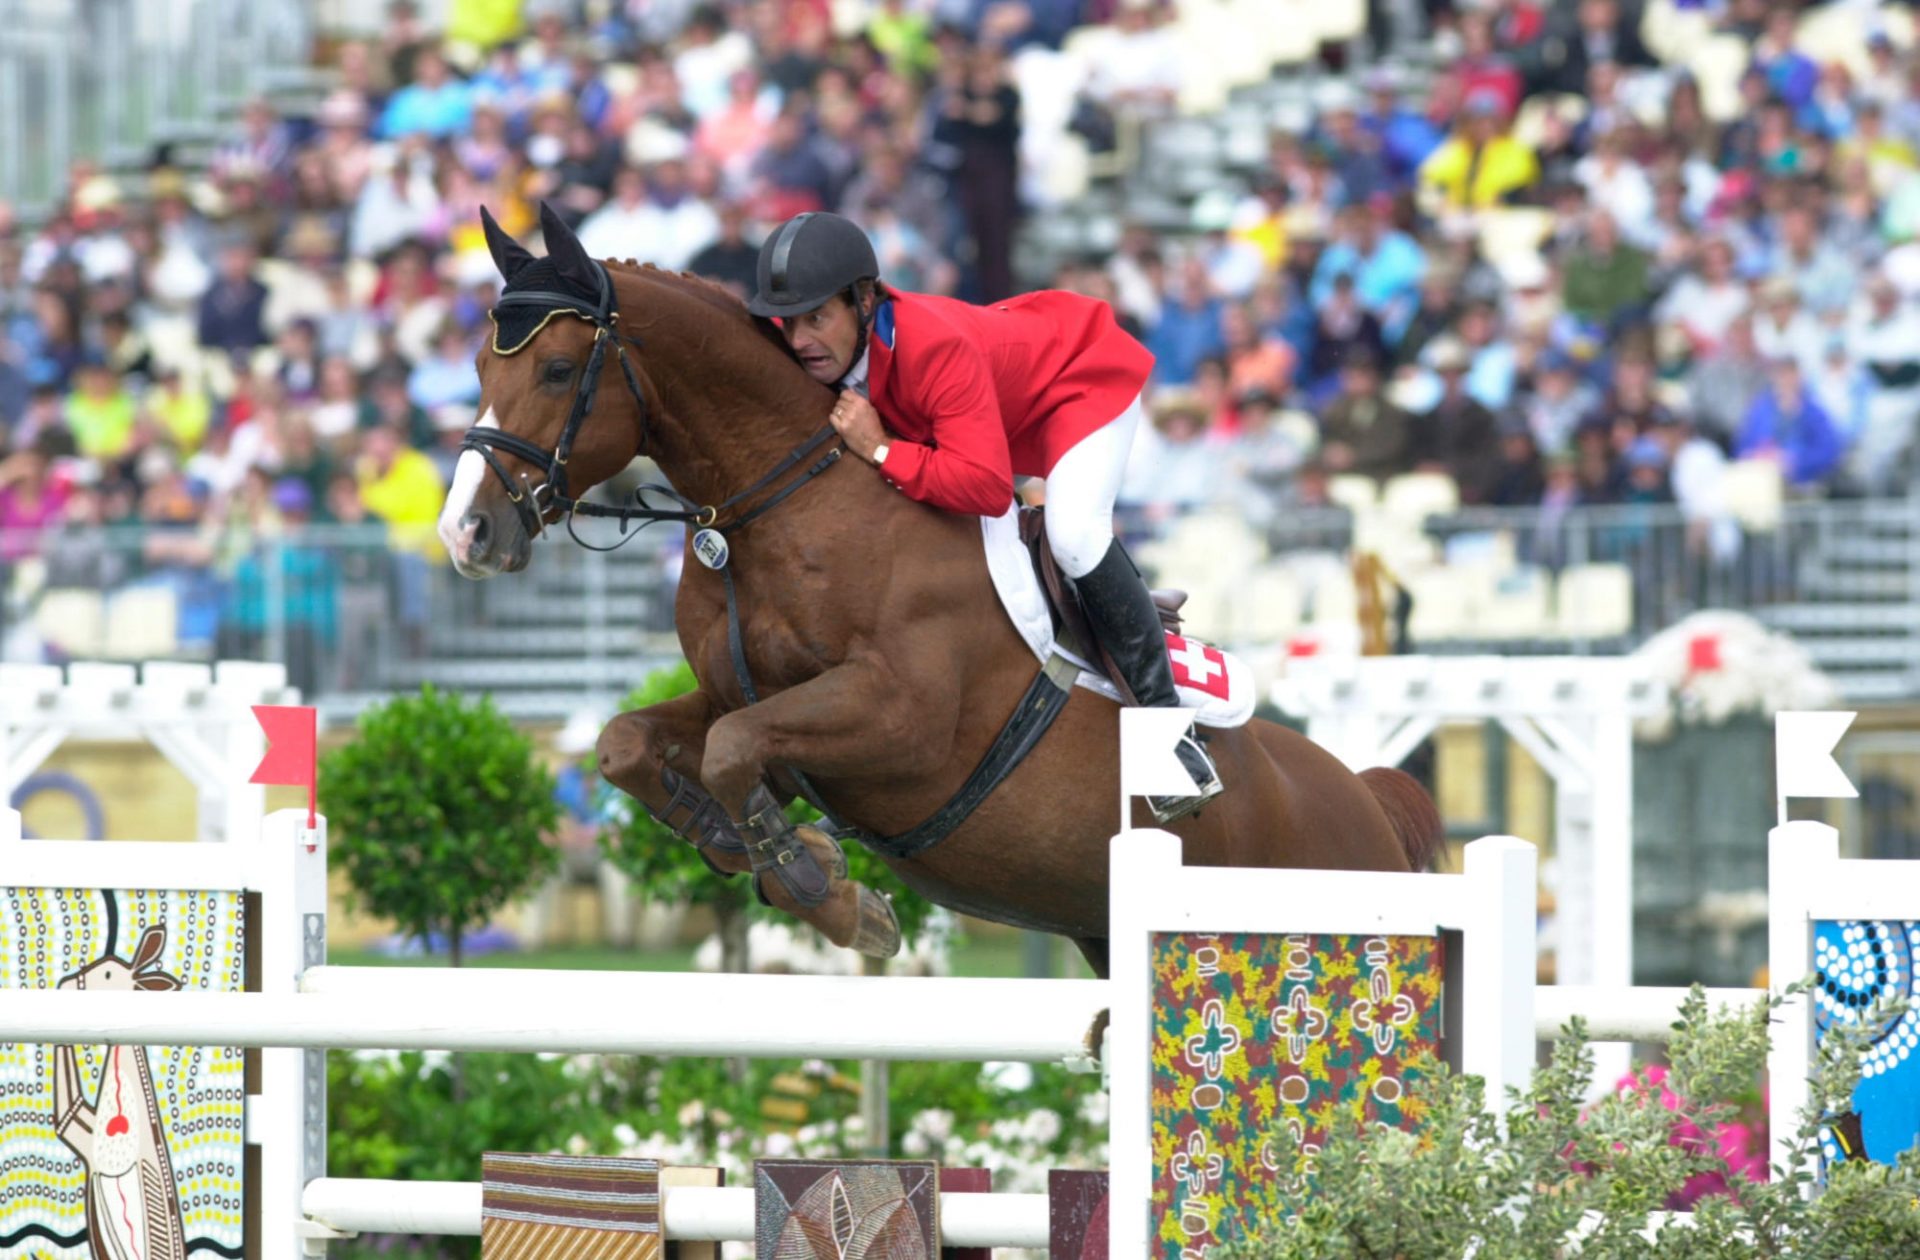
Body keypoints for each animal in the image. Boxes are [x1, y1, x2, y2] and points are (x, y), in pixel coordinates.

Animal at [438, 204, 1441, 976]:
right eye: (482, 369)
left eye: (557, 371)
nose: (466, 533)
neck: (784, 501)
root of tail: (1368, 803)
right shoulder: (742, 697)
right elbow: (631, 745)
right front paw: (754, 848)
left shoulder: (900, 720)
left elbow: (731, 749)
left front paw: (827, 892)